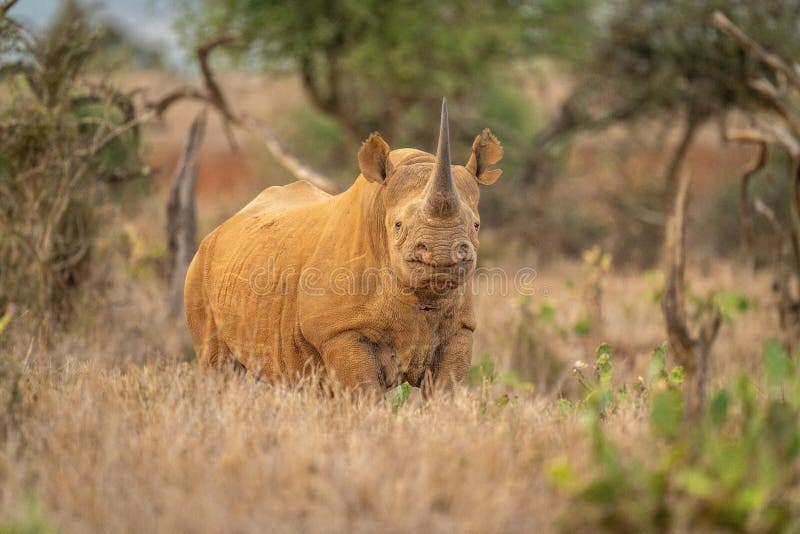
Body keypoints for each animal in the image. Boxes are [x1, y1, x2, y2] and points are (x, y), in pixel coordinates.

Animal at [184, 99, 503, 395]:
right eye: (398, 226)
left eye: (476, 225)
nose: (442, 251)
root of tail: (223, 225)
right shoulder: (340, 330)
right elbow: (364, 391)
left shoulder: (461, 329)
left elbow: (446, 390)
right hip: (200, 267)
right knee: (219, 367)